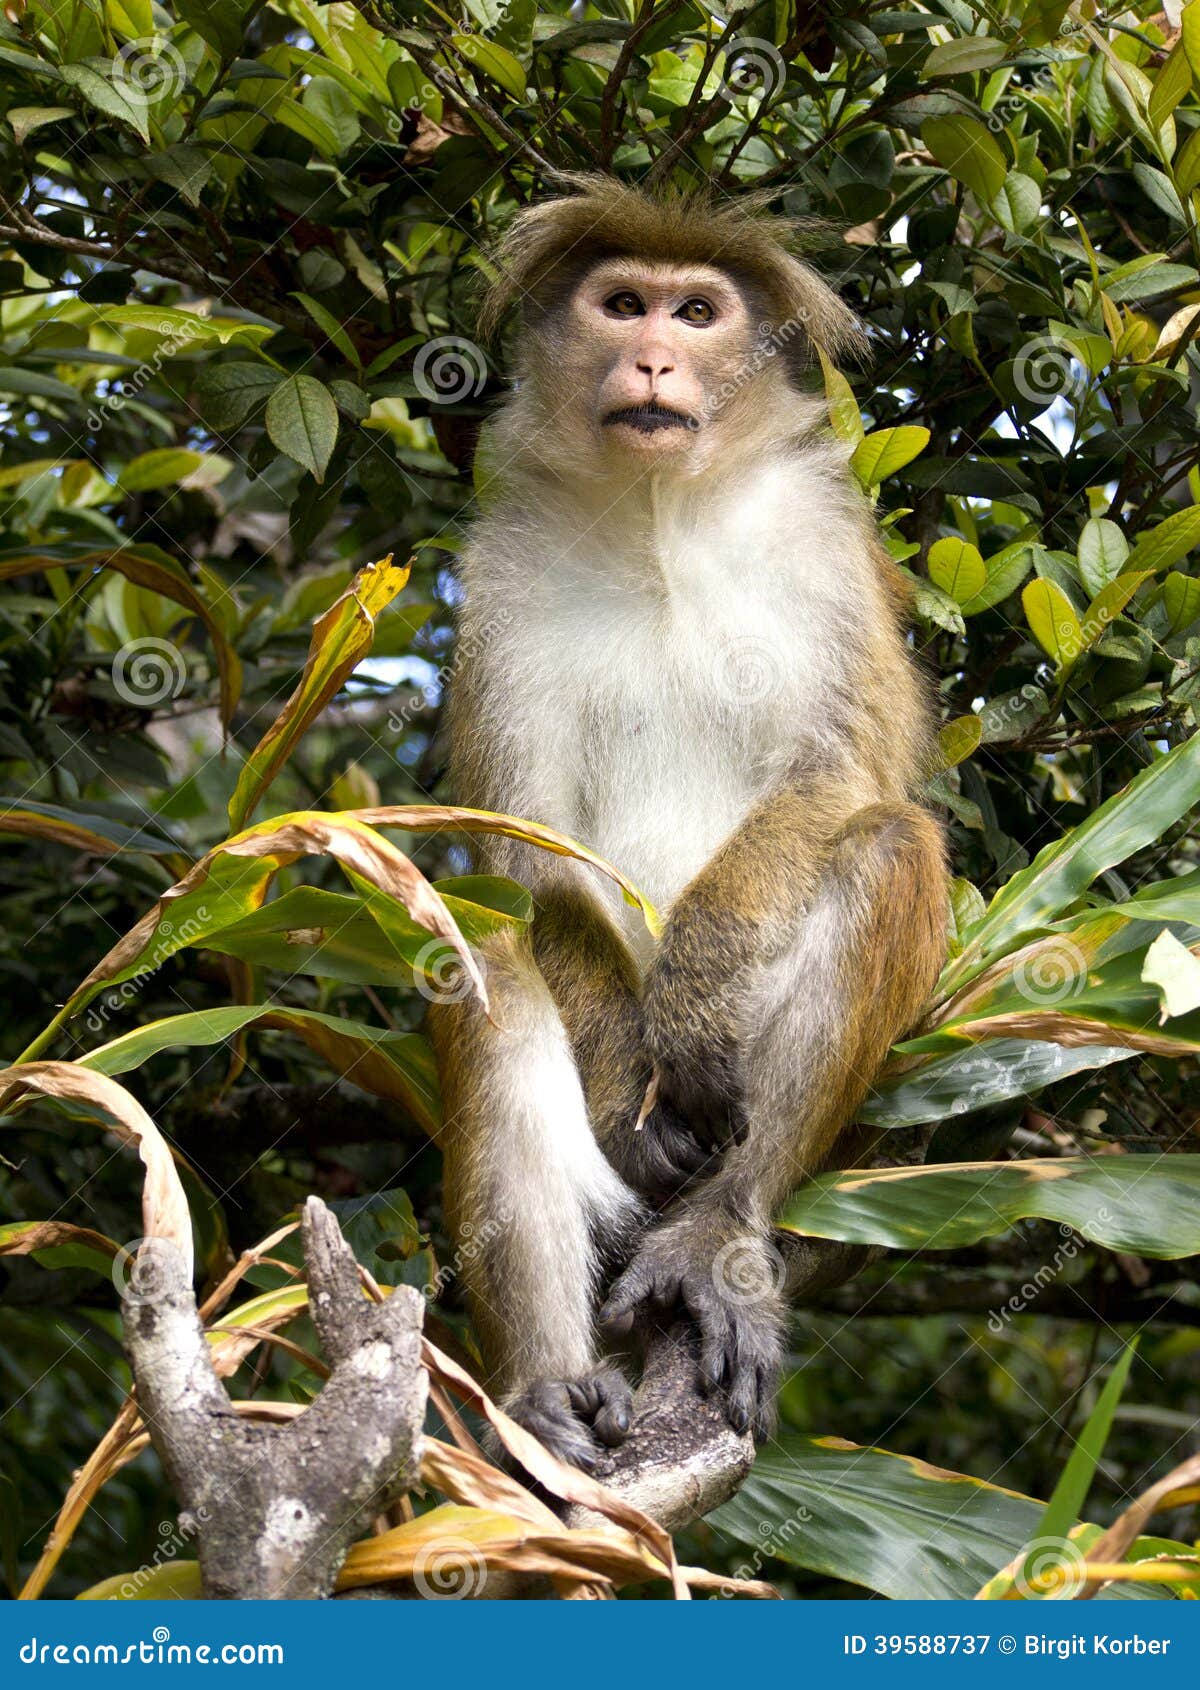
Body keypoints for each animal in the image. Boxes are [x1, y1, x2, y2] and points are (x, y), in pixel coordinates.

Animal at [426, 175, 948, 1474]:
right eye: (624, 305)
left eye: (698, 312)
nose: (655, 358)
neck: (662, 514)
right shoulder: (500, 578)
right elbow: (526, 855)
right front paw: (626, 1091)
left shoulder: (822, 542)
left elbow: (837, 773)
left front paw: (695, 996)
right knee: (487, 951)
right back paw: (549, 1391)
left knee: (885, 847)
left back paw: (715, 1238)